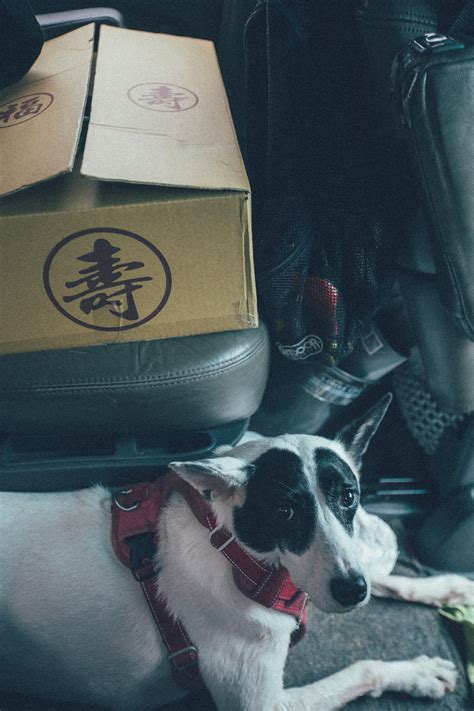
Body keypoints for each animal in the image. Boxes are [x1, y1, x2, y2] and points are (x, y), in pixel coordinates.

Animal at [1, 393, 473, 710]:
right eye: (284, 510)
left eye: (349, 497)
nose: (350, 592)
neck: (235, 553)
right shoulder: (265, 703)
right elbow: (362, 668)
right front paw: (417, 673)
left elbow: (383, 578)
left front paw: (450, 587)